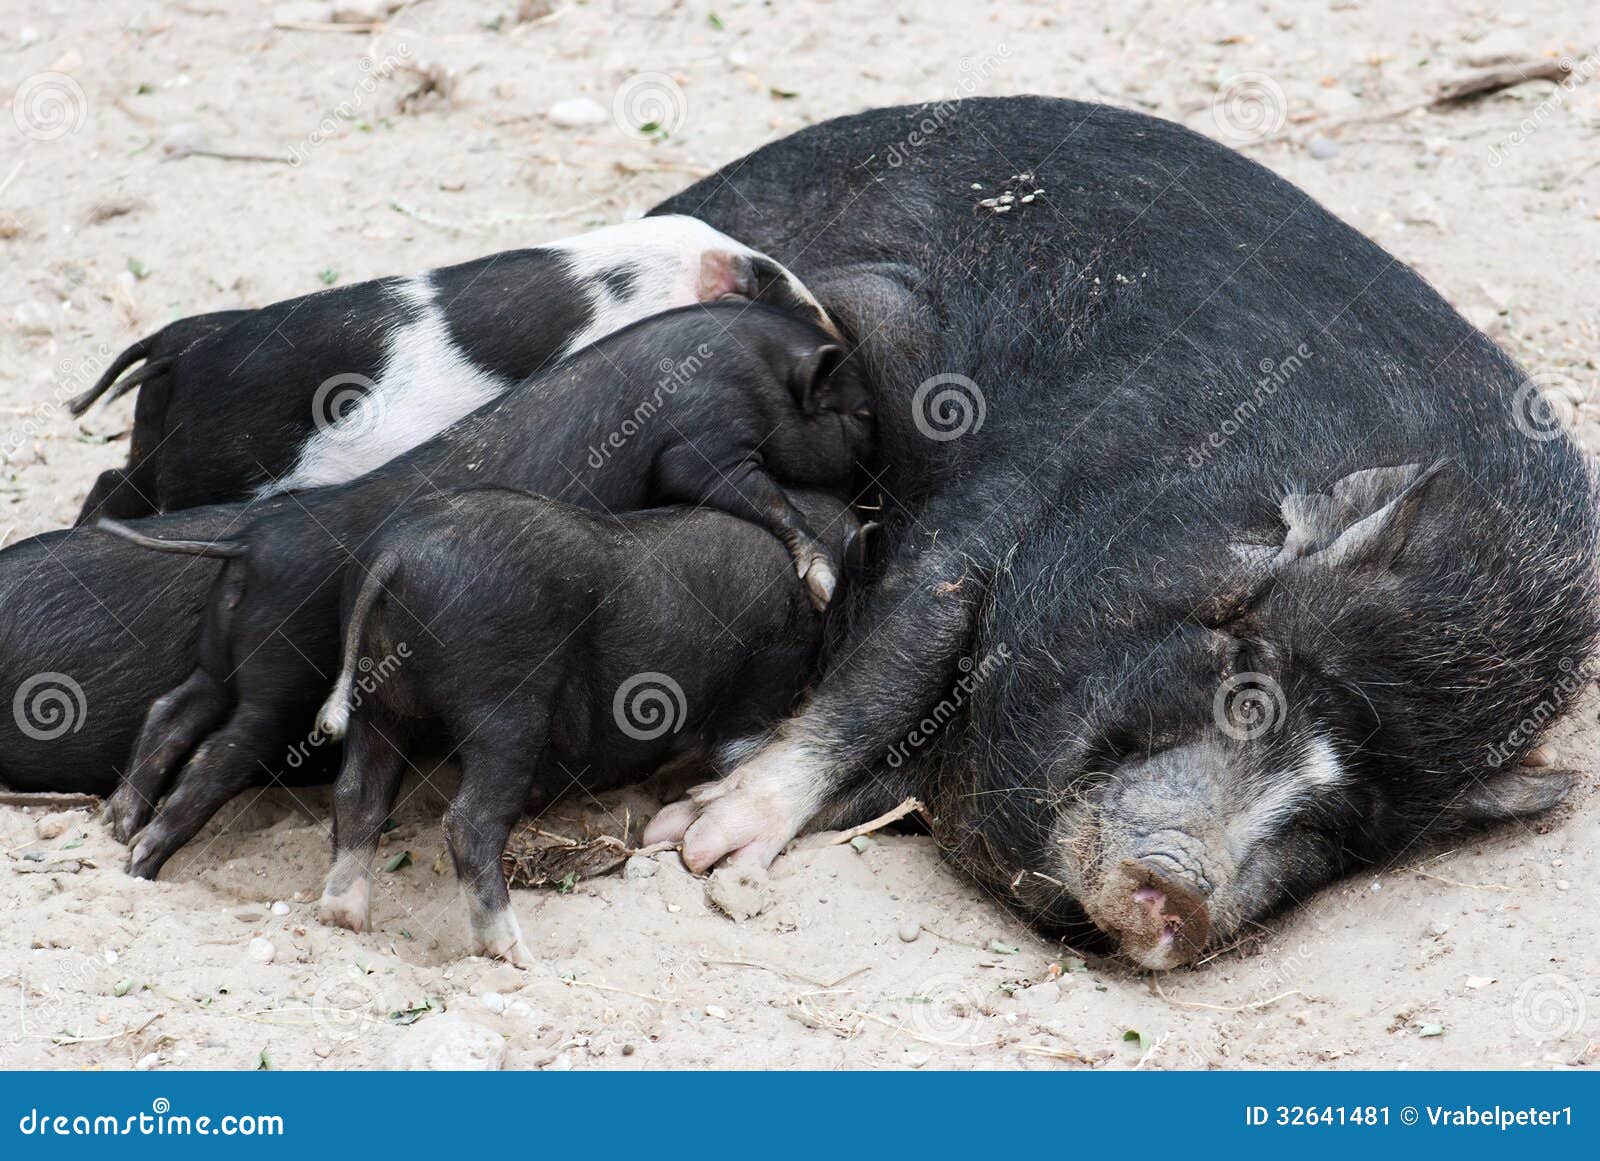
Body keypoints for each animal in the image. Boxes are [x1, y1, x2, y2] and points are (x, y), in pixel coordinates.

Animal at [69, 216, 831, 523]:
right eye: (787, 296)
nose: (835, 331)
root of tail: (177, 348)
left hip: (157, 450)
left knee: (110, 480)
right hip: (212, 469)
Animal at [98, 301, 876, 880]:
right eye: (859, 414)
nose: (879, 482)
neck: (755, 362)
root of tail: (248, 545)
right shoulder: (704, 435)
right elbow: (754, 493)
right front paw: (821, 577)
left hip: (220, 655)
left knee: (173, 709)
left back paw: (116, 823)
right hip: (277, 684)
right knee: (217, 752)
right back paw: (140, 860)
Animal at [313, 486, 863, 964]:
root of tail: (399, 552)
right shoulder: (771, 670)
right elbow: (740, 750)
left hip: (379, 702)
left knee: (357, 795)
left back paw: (343, 919)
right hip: (507, 705)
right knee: (468, 821)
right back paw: (517, 955)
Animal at [641, 97, 1600, 966]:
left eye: (1341, 821)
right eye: (1248, 684)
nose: (1186, 890)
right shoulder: (1029, 482)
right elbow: (897, 652)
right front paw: (692, 839)